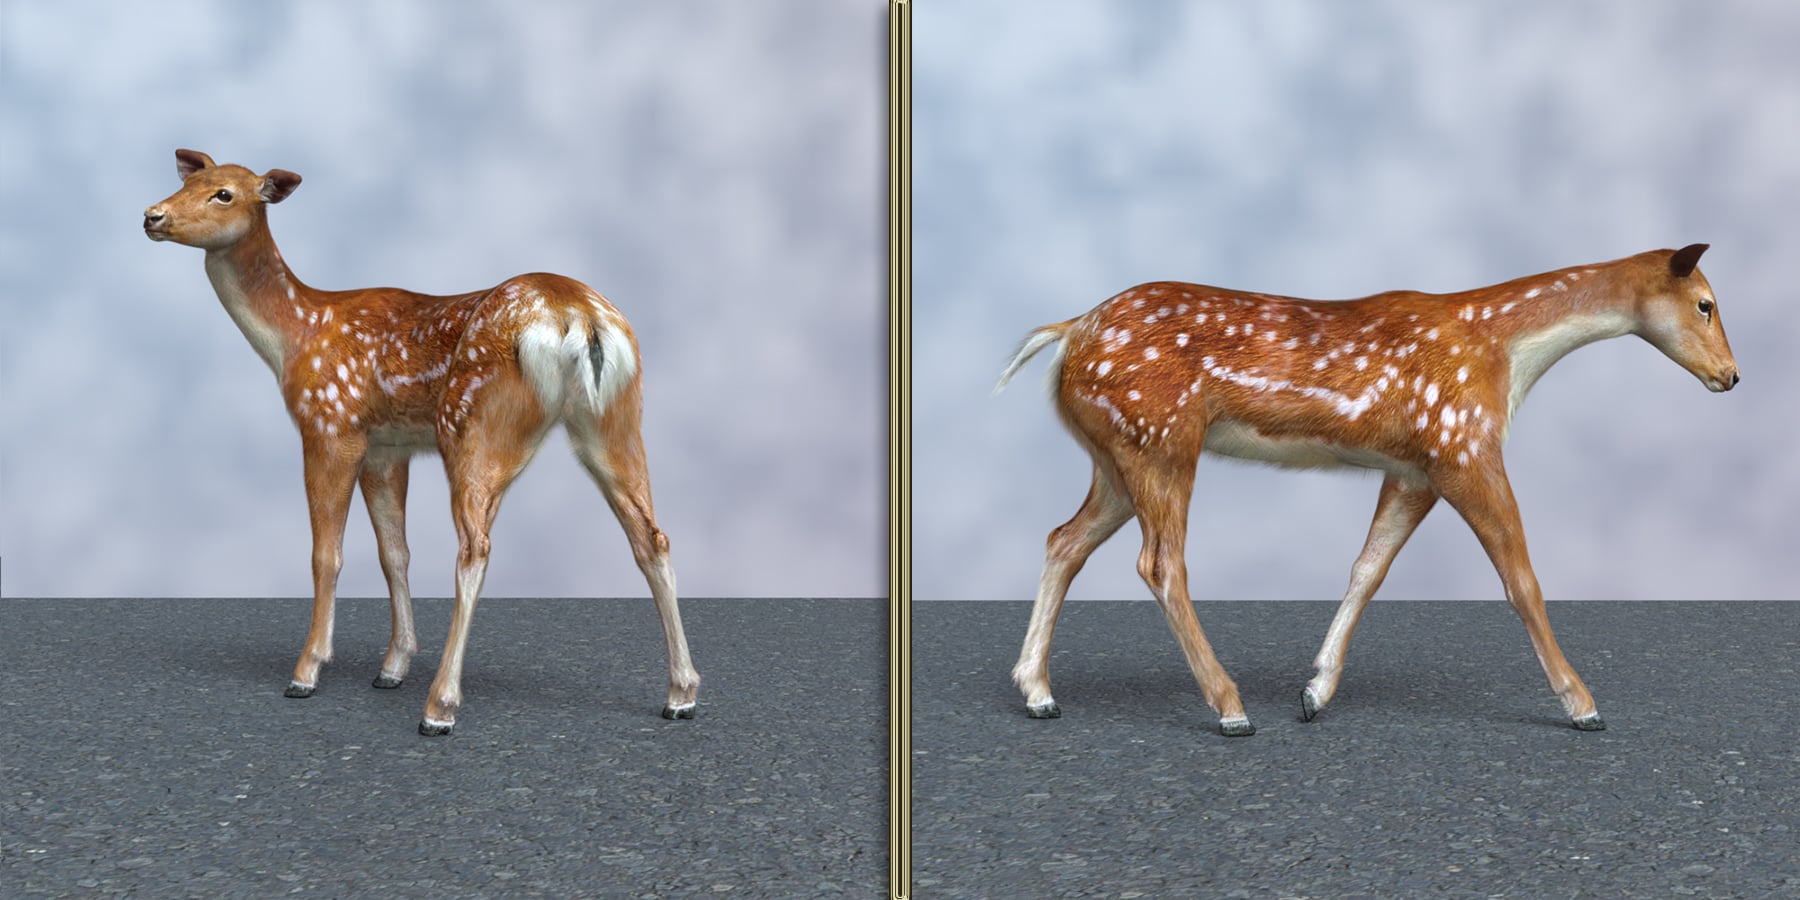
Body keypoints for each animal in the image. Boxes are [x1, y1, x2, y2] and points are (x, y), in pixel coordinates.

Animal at [143, 149, 699, 735]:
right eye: (189, 181)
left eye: (224, 193)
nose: (152, 216)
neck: (298, 336)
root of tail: (579, 315)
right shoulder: (387, 448)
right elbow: (395, 552)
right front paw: (392, 665)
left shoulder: (331, 424)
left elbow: (326, 554)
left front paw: (307, 670)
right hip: (615, 419)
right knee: (652, 537)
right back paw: (681, 695)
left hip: (475, 425)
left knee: (475, 547)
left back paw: (440, 707)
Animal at [996, 245, 1738, 735]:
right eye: (1705, 303)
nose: (1730, 375)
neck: (1507, 356)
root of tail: (1069, 333)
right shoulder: (1462, 444)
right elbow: (1521, 578)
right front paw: (1582, 704)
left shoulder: (1413, 469)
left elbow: (1367, 567)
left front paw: (1316, 691)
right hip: (1160, 435)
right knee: (1159, 561)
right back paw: (1230, 708)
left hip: (1115, 453)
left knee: (1063, 539)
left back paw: (1038, 692)